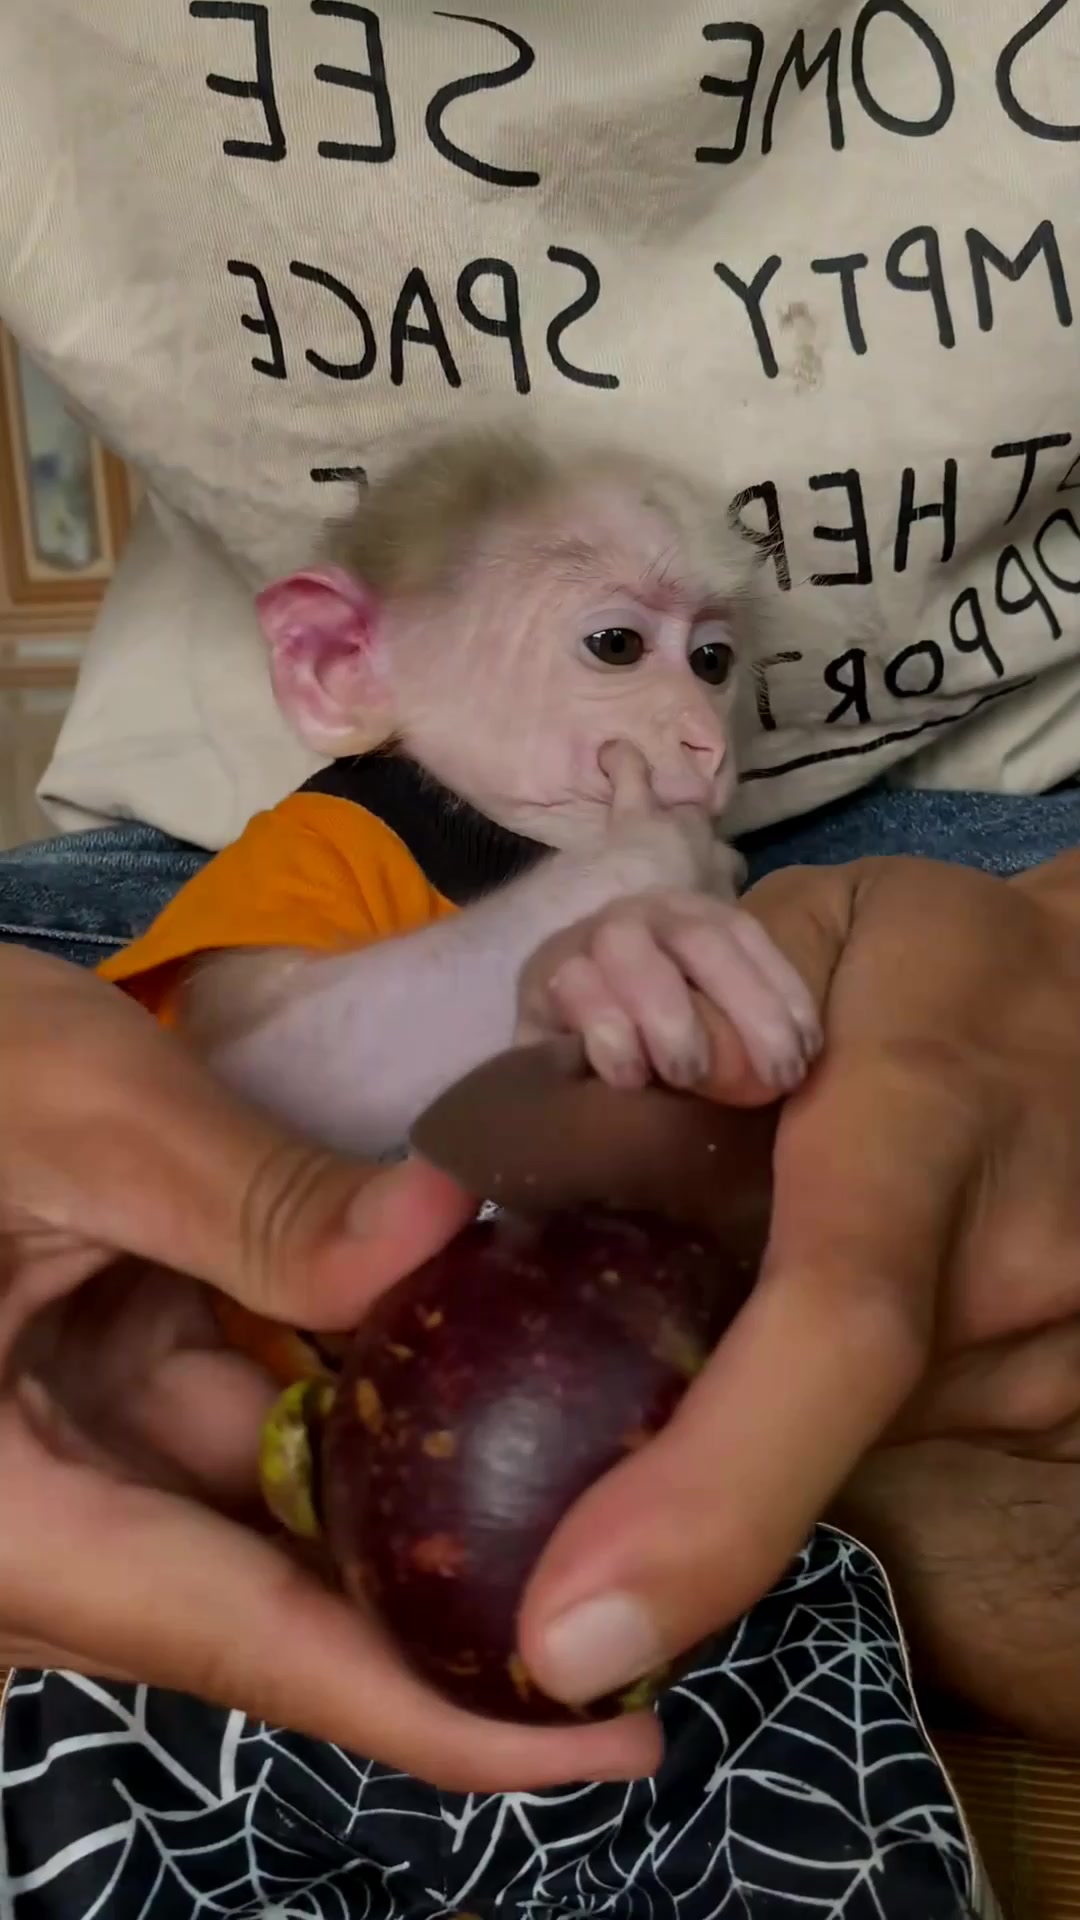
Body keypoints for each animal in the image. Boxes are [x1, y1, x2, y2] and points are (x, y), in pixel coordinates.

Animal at [97, 423, 821, 1163]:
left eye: (712, 662)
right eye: (617, 645)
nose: (705, 741)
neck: (480, 830)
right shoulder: (295, 840)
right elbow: (265, 1055)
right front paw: (631, 916)